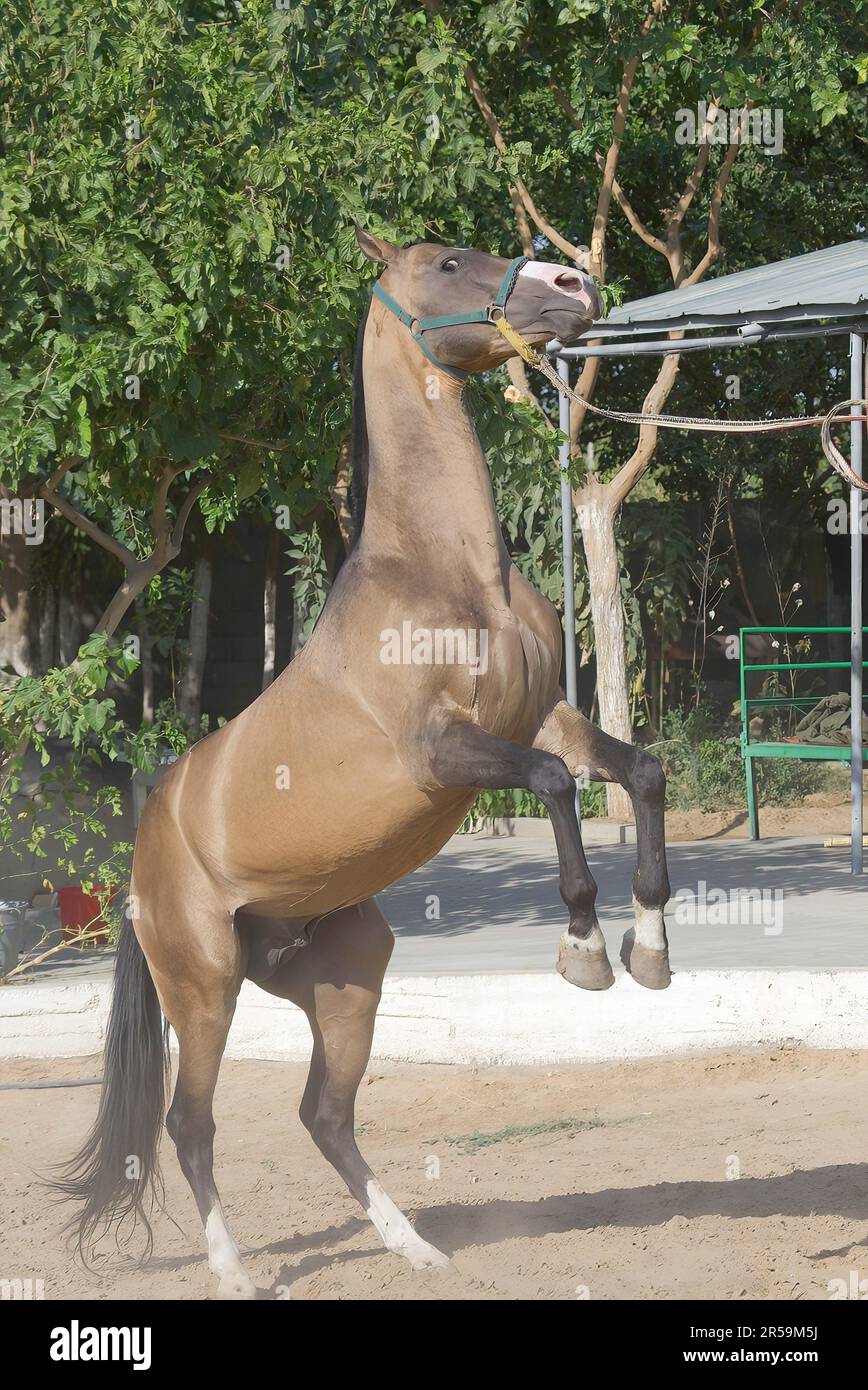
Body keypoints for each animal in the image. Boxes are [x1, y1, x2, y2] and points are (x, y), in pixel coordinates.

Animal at [56, 227, 672, 1298]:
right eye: (449, 264)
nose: (574, 282)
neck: (446, 572)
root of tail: (145, 849)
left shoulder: (547, 716)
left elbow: (638, 773)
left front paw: (651, 948)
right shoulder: (446, 753)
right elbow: (556, 788)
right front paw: (586, 952)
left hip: (347, 978)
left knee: (325, 1114)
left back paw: (415, 1245)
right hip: (204, 990)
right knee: (190, 1124)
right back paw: (236, 1272)